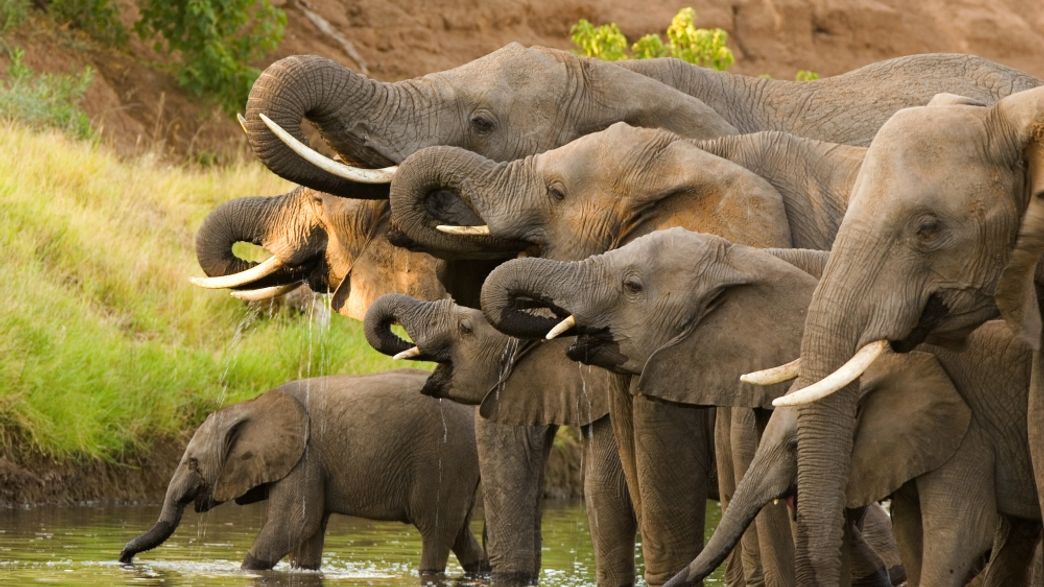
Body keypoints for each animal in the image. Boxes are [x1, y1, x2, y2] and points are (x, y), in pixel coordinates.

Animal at [119, 369, 488, 577]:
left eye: (193, 463)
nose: (123, 558)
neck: (253, 404)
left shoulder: (305, 458)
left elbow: (295, 523)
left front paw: (243, 571)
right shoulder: (309, 463)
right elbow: (308, 533)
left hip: (444, 459)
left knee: (436, 530)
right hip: (461, 468)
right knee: (459, 532)